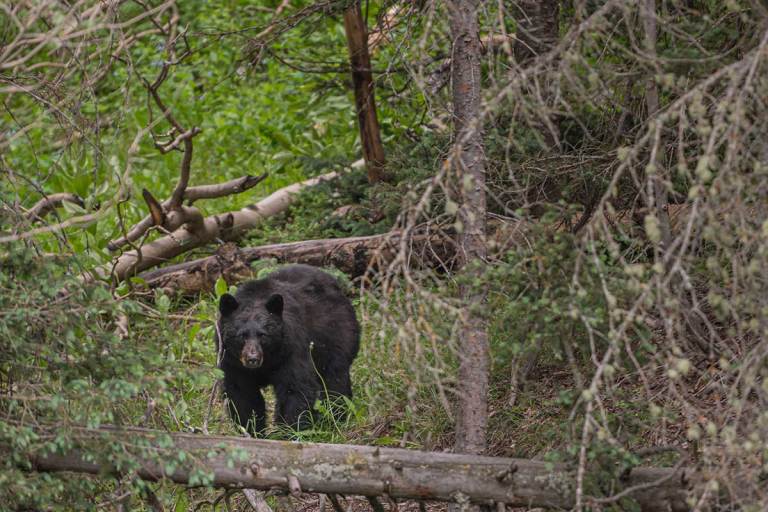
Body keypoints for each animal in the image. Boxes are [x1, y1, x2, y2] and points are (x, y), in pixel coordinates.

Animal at [216, 264, 360, 435]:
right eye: (241, 336)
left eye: (263, 335)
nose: (252, 359)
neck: (268, 360)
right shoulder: (233, 363)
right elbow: (242, 394)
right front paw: (252, 431)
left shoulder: (290, 350)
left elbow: (295, 388)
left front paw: (289, 431)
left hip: (336, 335)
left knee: (335, 379)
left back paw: (335, 418)